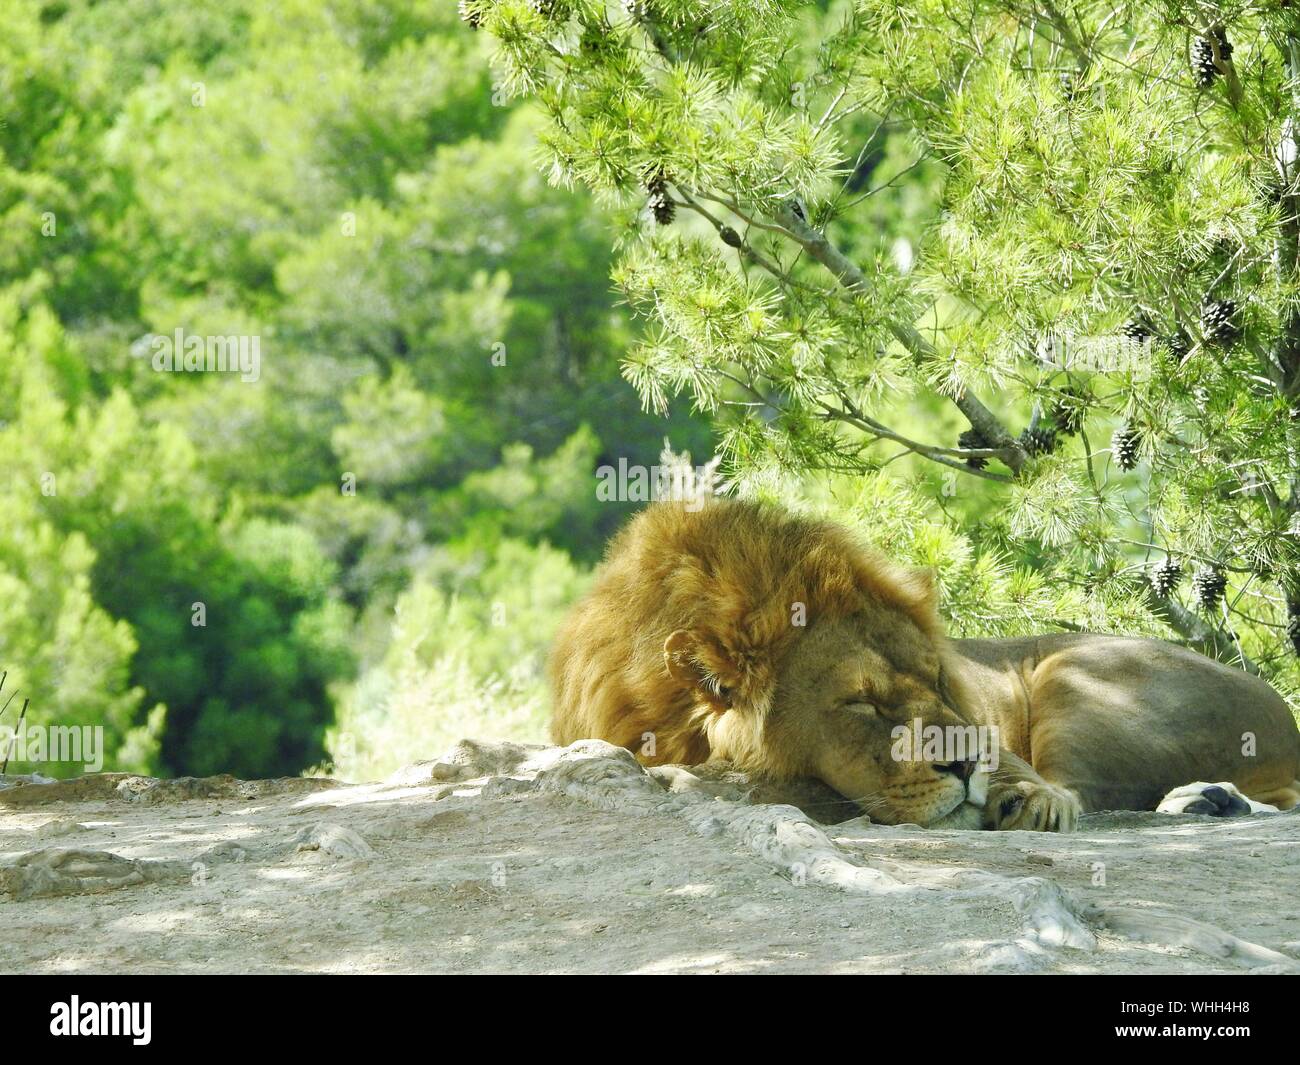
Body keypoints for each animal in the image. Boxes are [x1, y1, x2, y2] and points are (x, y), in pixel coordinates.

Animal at [549, 498, 1300, 831]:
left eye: (940, 679)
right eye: (861, 703)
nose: (968, 765)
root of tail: (1284, 717)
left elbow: (1040, 781)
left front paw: (1016, 795)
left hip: (1073, 676)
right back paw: (1209, 799)